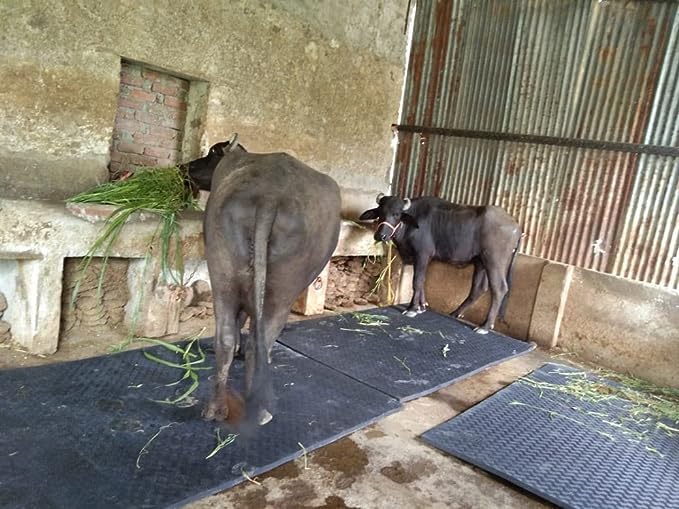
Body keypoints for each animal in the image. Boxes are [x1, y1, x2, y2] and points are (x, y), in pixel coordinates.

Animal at [185, 134, 341, 429]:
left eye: (210, 154)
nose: (185, 168)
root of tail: (270, 194)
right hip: (281, 291)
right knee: (260, 341)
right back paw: (260, 409)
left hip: (222, 272)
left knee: (225, 335)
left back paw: (215, 408)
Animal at [359, 194, 521, 334]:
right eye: (380, 212)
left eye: (397, 214)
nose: (380, 235)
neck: (410, 225)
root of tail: (516, 227)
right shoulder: (423, 258)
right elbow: (423, 281)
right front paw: (422, 306)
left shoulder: (422, 254)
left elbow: (417, 281)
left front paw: (412, 308)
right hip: (480, 262)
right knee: (479, 288)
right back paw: (455, 313)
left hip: (494, 261)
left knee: (499, 288)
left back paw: (485, 326)